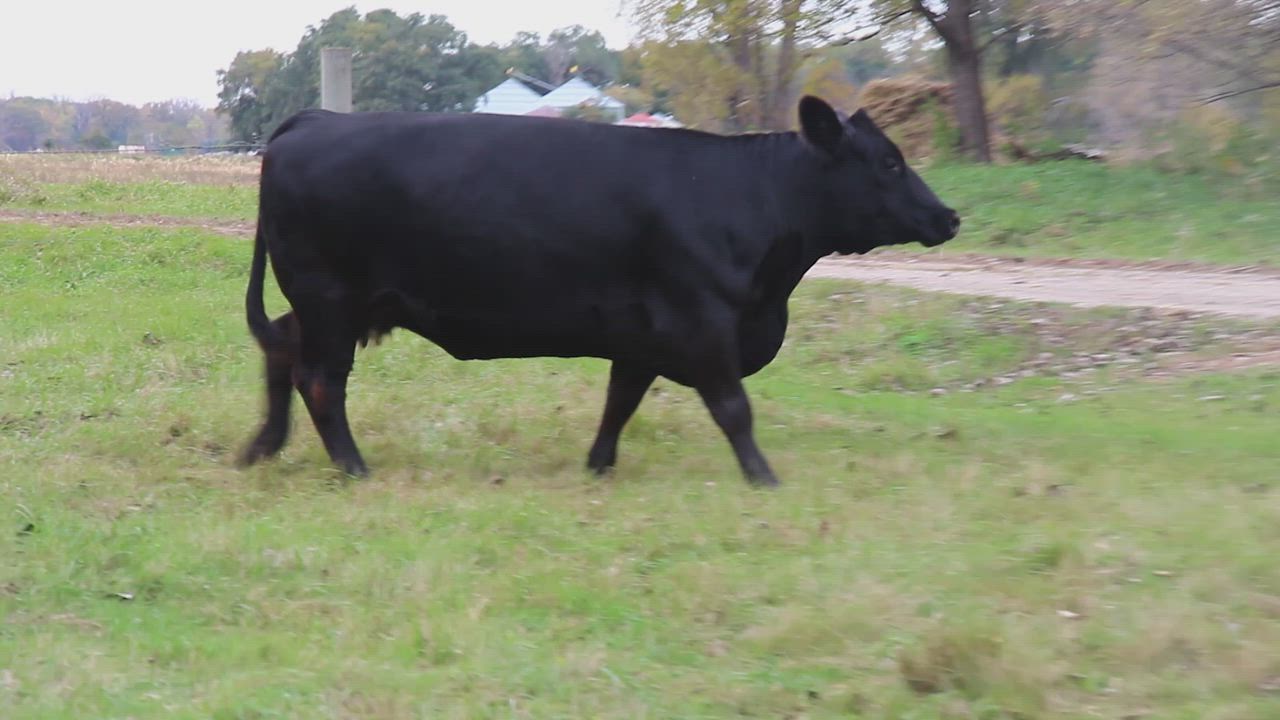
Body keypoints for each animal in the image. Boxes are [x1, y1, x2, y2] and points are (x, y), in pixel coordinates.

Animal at [238, 95, 959, 486]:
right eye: (889, 162)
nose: (949, 216)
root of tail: (315, 118)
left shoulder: (642, 333)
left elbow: (621, 400)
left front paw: (598, 466)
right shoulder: (702, 321)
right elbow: (733, 408)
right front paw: (763, 477)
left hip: (338, 304)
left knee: (281, 350)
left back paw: (262, 446)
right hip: (332, 299)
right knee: (320, 381)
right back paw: (353, 467)